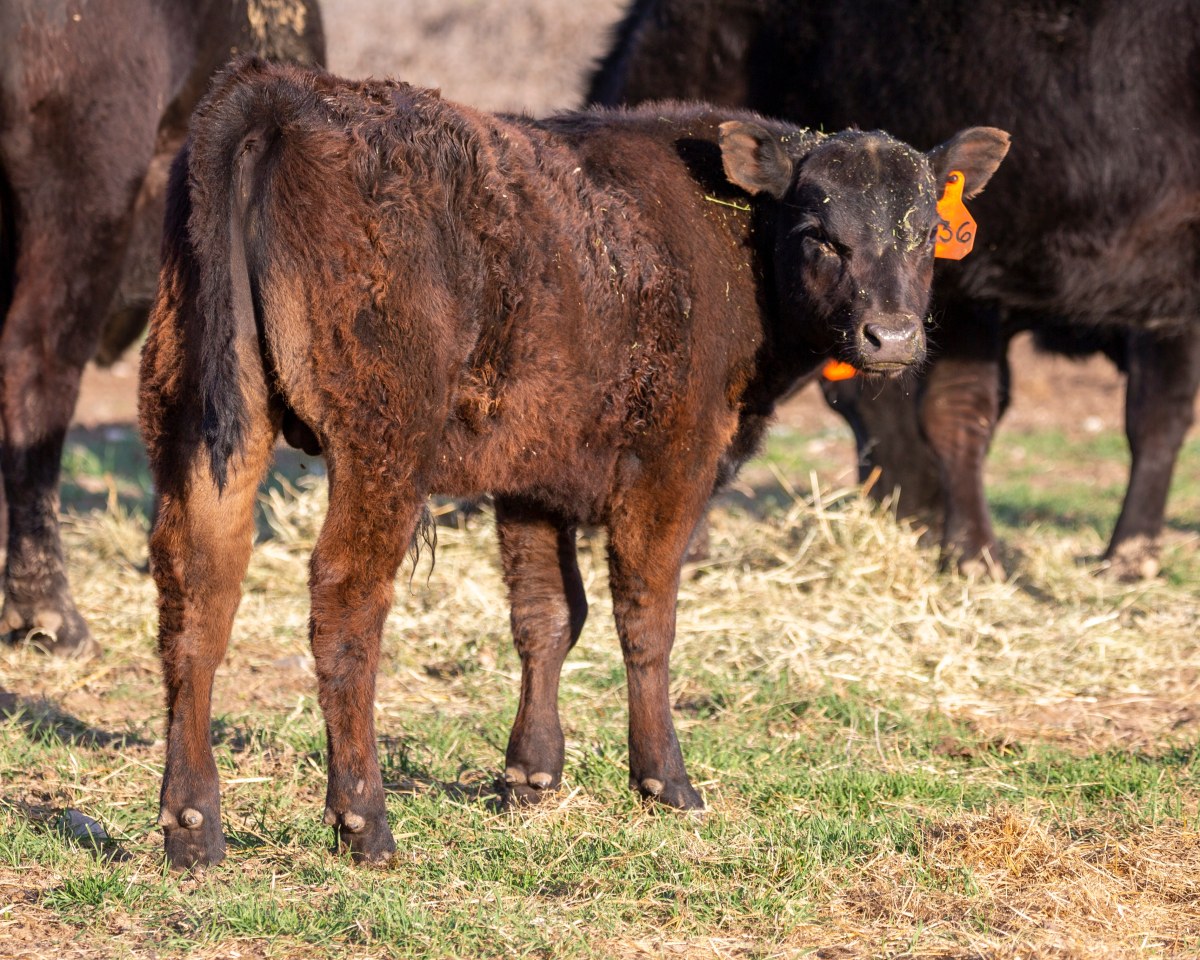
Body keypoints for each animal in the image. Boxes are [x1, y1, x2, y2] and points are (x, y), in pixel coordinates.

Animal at [138, 56, 1007, 867]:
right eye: (819, 236)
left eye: (924, 234)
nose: (891, 336)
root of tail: (285, 91)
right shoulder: (673, 461)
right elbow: (645, 618)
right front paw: (664, 779)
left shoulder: (533, 474)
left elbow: (548, 617)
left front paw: (531, 774)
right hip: (381, 442)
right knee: (346, 603)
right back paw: (364, 819)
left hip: (203, 417)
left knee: (198, 591)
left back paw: (193, 823)